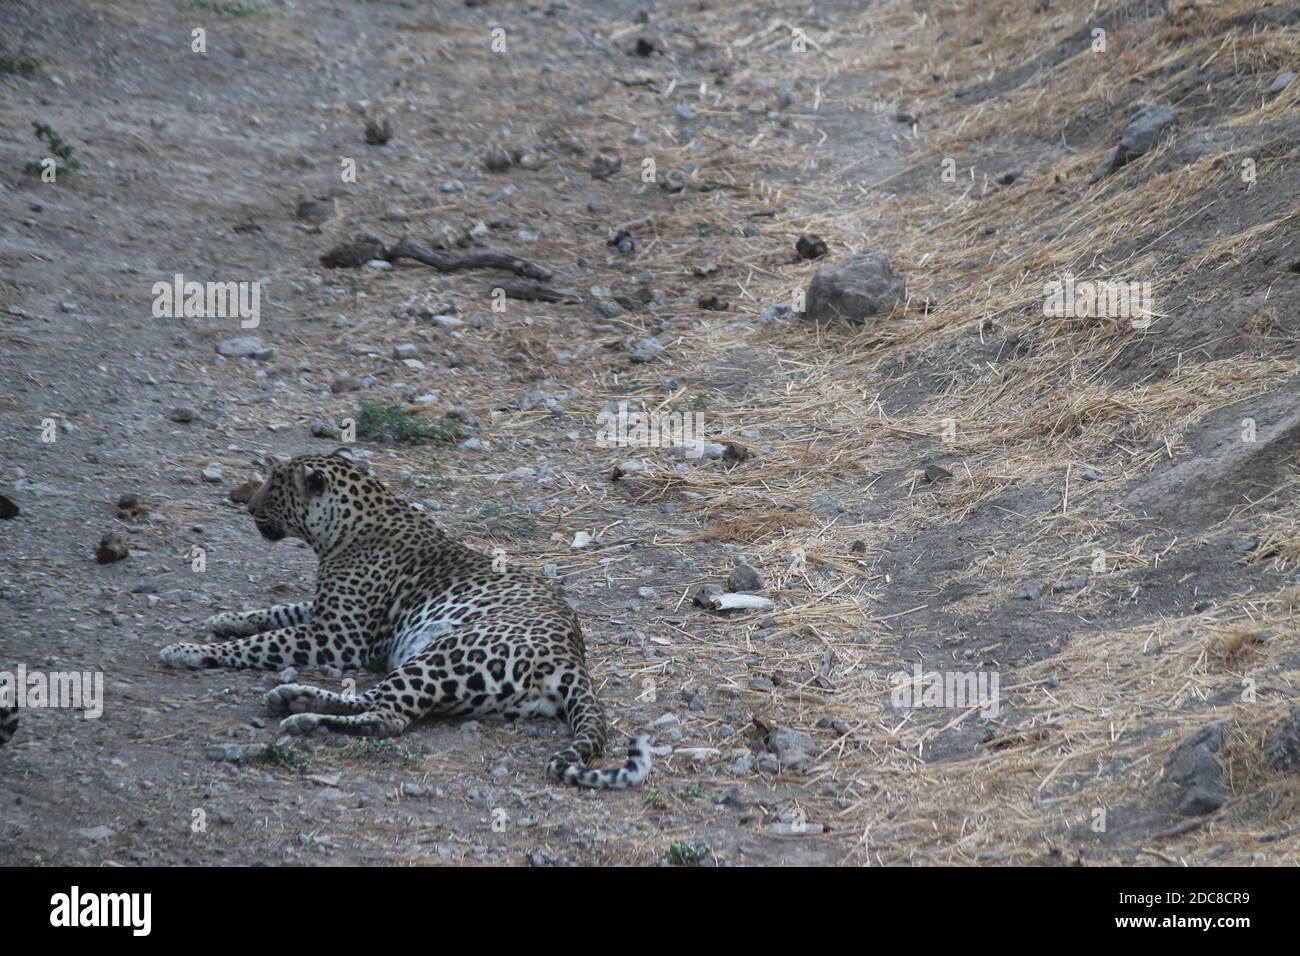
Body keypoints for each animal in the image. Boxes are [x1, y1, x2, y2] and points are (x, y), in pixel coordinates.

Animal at [159, 449, 651, 789]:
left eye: (275, 485)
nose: (248, 508)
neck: (341, 527)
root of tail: (573, 662)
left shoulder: (336, 636)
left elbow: (260, 643)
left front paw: (187, 650)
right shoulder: (324, 615)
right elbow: (275, 613)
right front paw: (228, 618)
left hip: (445, 652)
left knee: (388, 717)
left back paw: (302, 719)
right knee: (374, 700)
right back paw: (291, 697)